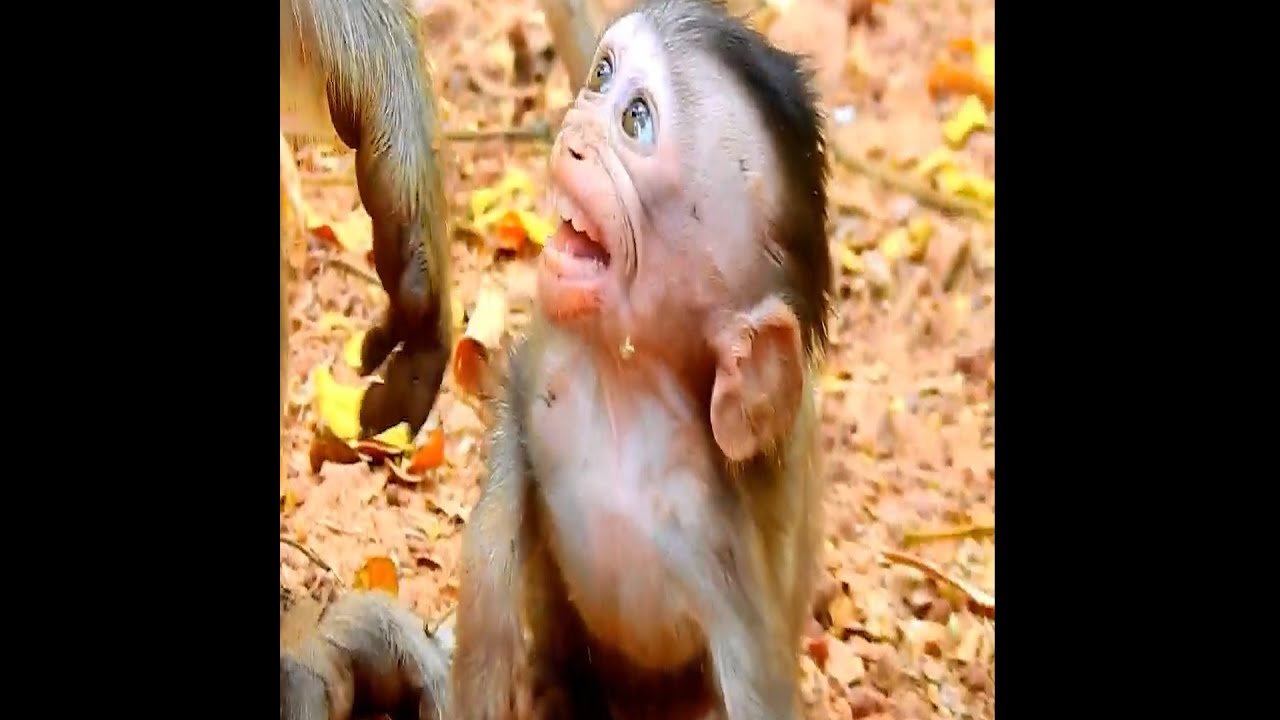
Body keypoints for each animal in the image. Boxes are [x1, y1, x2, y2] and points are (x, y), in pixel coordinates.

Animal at [451, 1, 833, 718]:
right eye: (601, 75)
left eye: (635, 119)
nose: (573, 133)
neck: (626, 392)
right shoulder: (549, 366)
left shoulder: (713, 524)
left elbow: (760, 685)